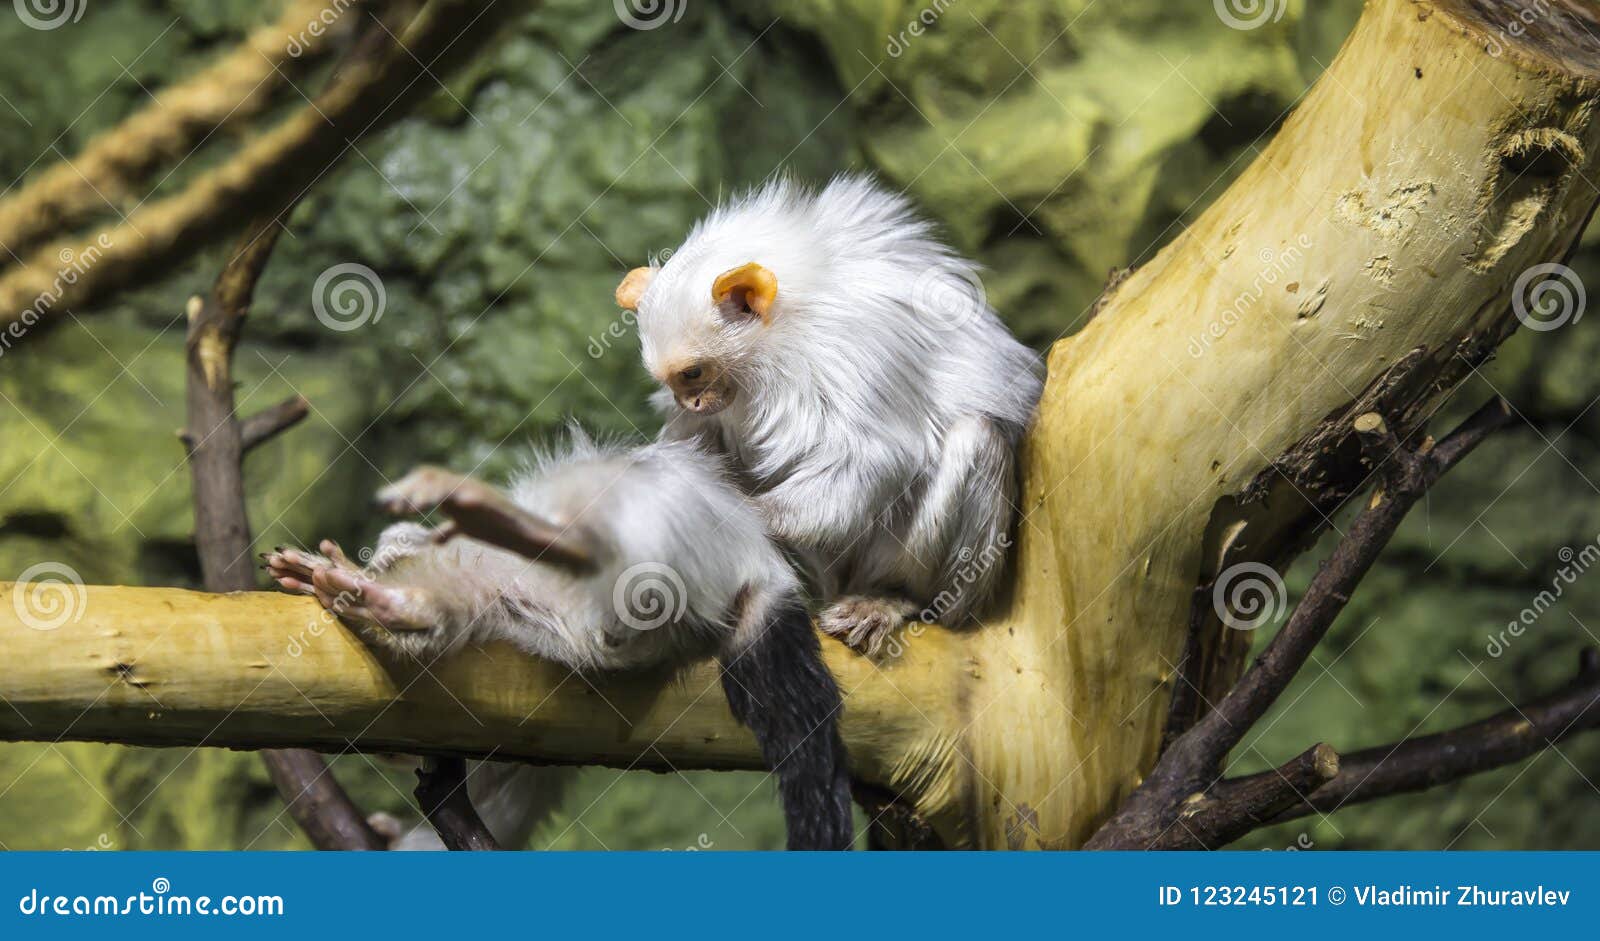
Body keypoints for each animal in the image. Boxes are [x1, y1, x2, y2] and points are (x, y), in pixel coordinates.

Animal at [617, 174, 1044, 656]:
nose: (689, 402)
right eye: (673, 381)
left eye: (693, 373)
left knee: (976, 437)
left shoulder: (845, 350)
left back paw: (895, 597)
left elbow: (873, 458)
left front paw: (748, 511)